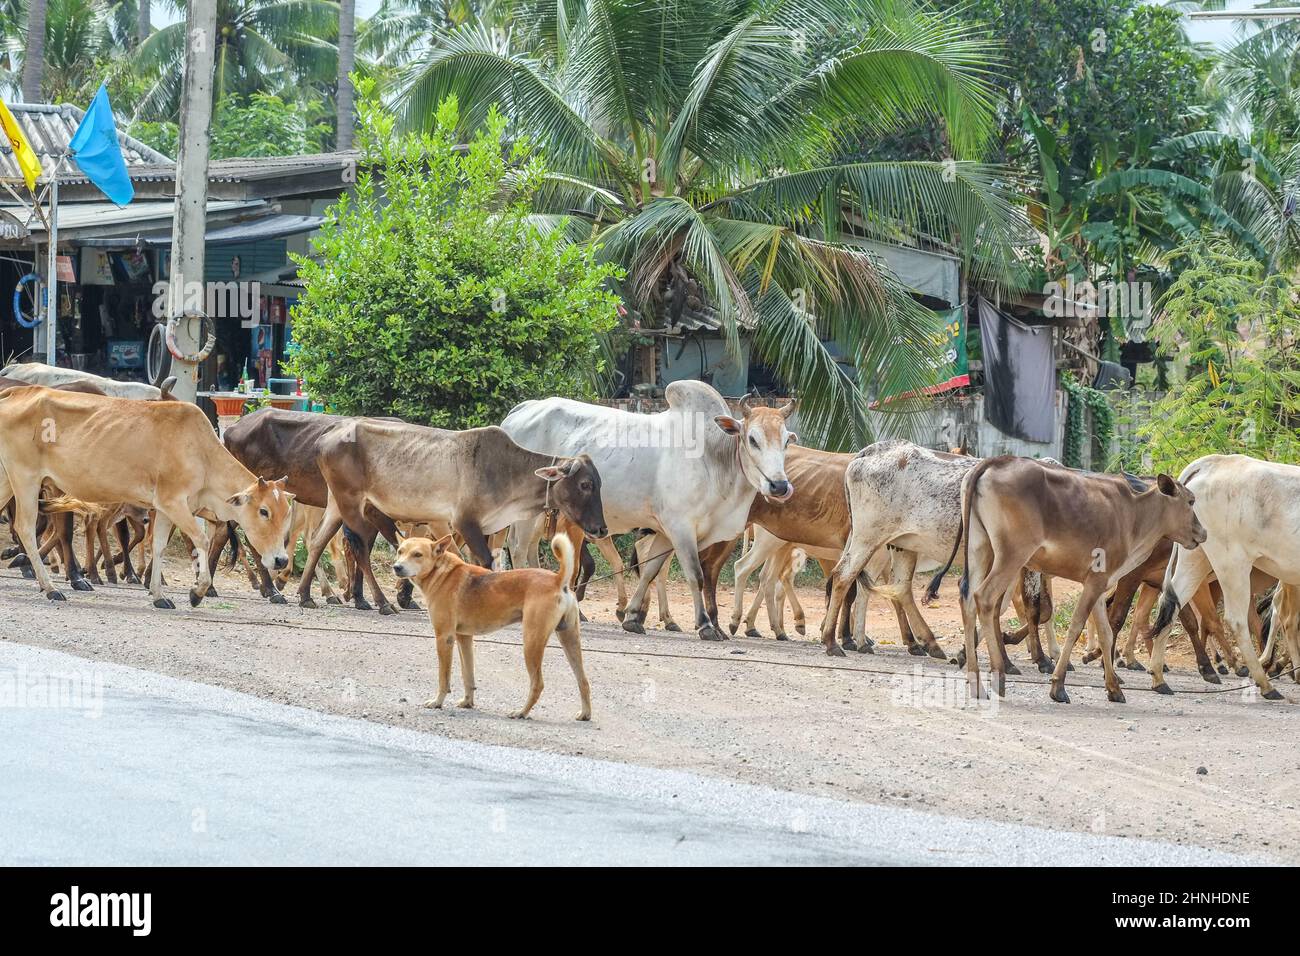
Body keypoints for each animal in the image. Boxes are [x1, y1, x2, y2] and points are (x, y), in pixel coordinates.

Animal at [0, 386, 294, 607]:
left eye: (287, 513)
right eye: (264, 511)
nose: (281, 560)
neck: (202, 455)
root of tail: (16, 392)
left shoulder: (163, 509)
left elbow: (159, 545)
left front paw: (158, 594)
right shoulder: (174, 503)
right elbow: (201, 540)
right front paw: (197, 592)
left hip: (7, 479)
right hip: (25, 479)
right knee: (25, 527)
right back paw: (50, 587)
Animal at [221, 408, 607, 614]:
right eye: (586, 484)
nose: (601, 529)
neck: (505, 470)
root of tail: (326, 437)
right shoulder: (464, 521)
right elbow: (482, 561)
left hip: (336, 504)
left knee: (317, 542)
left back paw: (304, 595)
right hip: (354, 504)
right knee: (358, 548)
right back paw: (375, 601)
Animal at [501, 381, 794, 641]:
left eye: (786, 442)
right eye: (753, 439)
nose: (779, 485)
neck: (712, 457)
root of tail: (520, 411)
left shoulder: (665, 531)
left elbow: (650, 570)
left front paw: (632, 617)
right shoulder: (681, 528)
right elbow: (695, 575)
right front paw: (705, 625)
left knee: (527, 548)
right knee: (517, 547)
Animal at [944, 456, 1204, 702]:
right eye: (1191, 501)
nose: (1203, 533)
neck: (1134, 517)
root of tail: (995, 462)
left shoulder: (1100, 583)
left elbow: (1106, 632)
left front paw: (1114, 688)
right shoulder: (1095, 580)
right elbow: (1076, 626)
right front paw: (1058, 685)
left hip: (980, 549)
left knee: (968, 599)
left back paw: (976, 683)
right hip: (1011, 556)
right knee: (985, 599)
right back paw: (998, 676)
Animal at [1149, 454, 1300, 699]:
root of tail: (1216, 462)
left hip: (1195, 556)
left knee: (1171, 605)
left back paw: (1158, 678)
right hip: (1233, 563)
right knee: (1236, 620)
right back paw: (1265, 684)